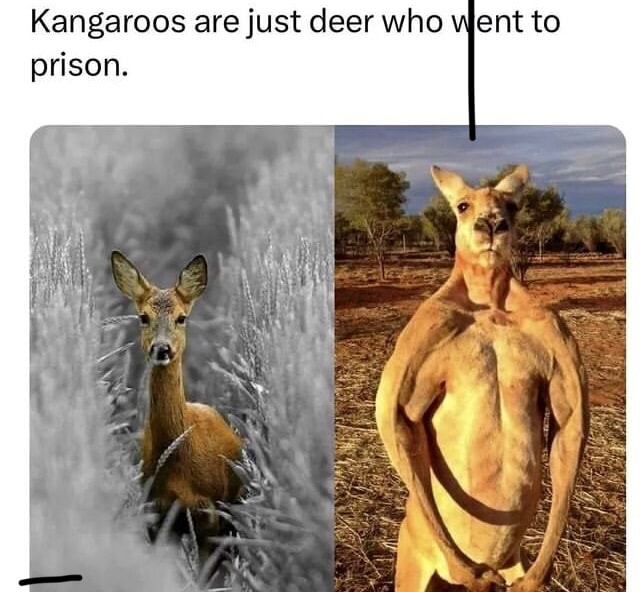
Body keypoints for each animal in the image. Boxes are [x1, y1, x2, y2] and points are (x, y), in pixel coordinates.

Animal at [376, 165, 589, 592]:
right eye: (462, 205)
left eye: (513, 205)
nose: (491, 224)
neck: (490, 302)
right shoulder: (425, 331)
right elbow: (398, 418)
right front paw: (468, 571)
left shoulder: (555, 334)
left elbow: (569, 423)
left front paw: (539, 575)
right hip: (413, 561)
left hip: (509, 561)